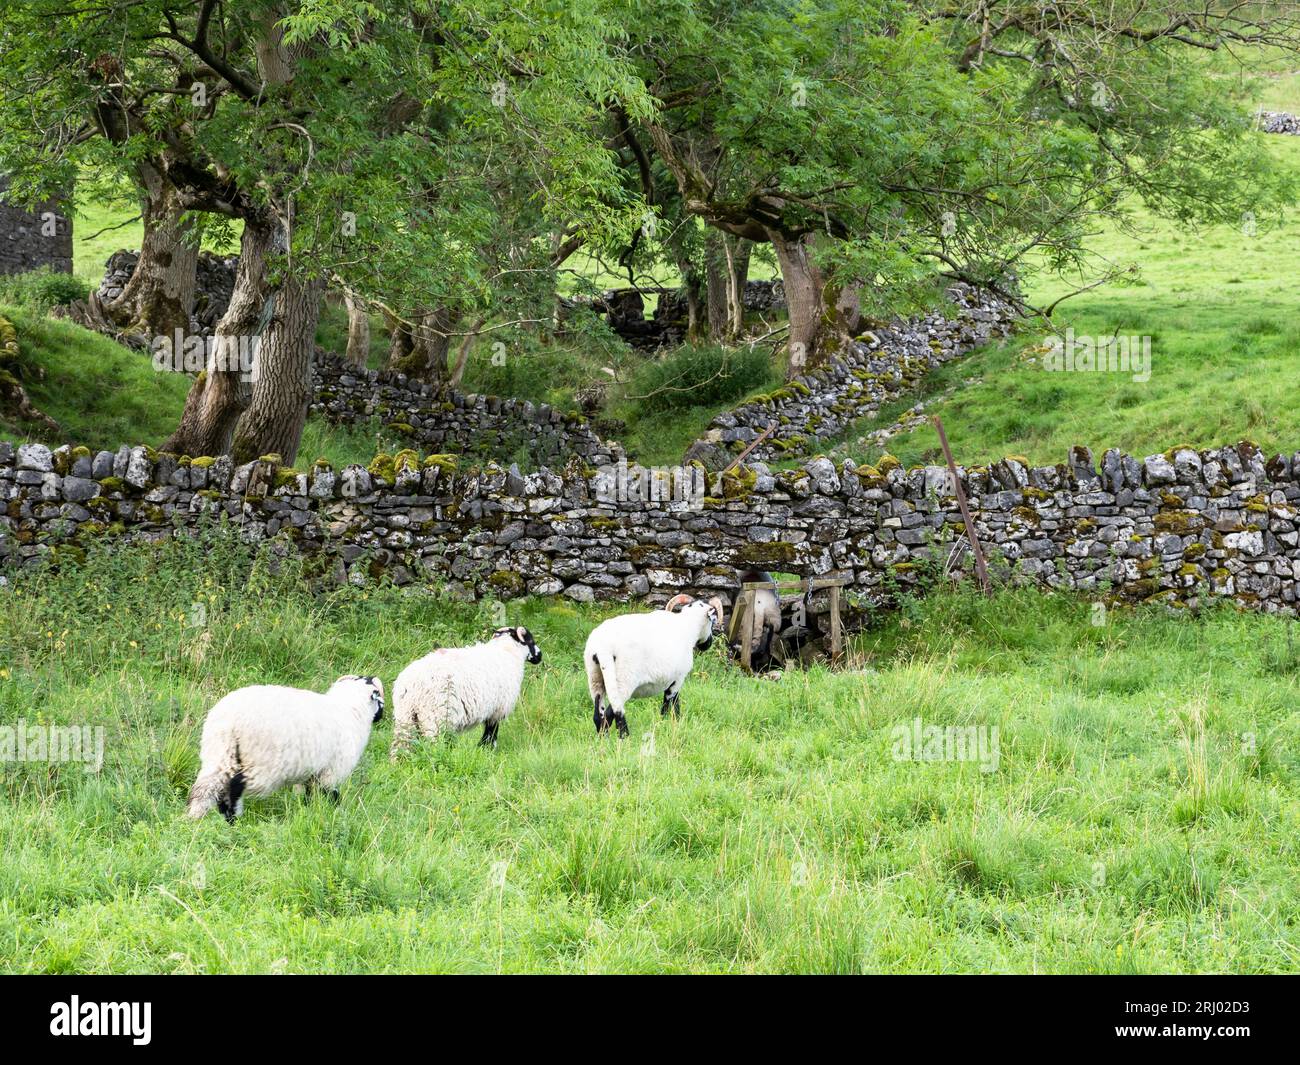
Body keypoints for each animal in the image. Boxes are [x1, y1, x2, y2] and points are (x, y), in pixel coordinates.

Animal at [187, 675, 384, 823]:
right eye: (380, 701)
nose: (380, 717)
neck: (351, 710)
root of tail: (231, 720)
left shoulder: (311, 774)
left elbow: (309, 795)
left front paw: (308, 810)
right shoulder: (331, 772)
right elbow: (331, 794)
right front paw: (336, 811)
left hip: (219, 752)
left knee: (208, 785)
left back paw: (200, 815)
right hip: (261, 763)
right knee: (234, 786)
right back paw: (233, 817)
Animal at [389, 626, 543, 756]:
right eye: (530, 640)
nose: (539, 656)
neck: (507, 652)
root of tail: (410, 685)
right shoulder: (497, 710)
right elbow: (491, 733)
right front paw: (488, 750)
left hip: (406, 716)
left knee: (401, 744)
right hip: (434, 716)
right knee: (433, 744)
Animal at [584, 594, 724, 737]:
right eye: (712, 622)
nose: (707, 644)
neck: (688, 627)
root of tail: (602, 648)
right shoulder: (678, 678)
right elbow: (670, 704)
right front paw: (670, 723)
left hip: (594, 676)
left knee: (598, 715)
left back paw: (603, 739)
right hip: (623, 679)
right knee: (613, 712)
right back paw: (625, 737)